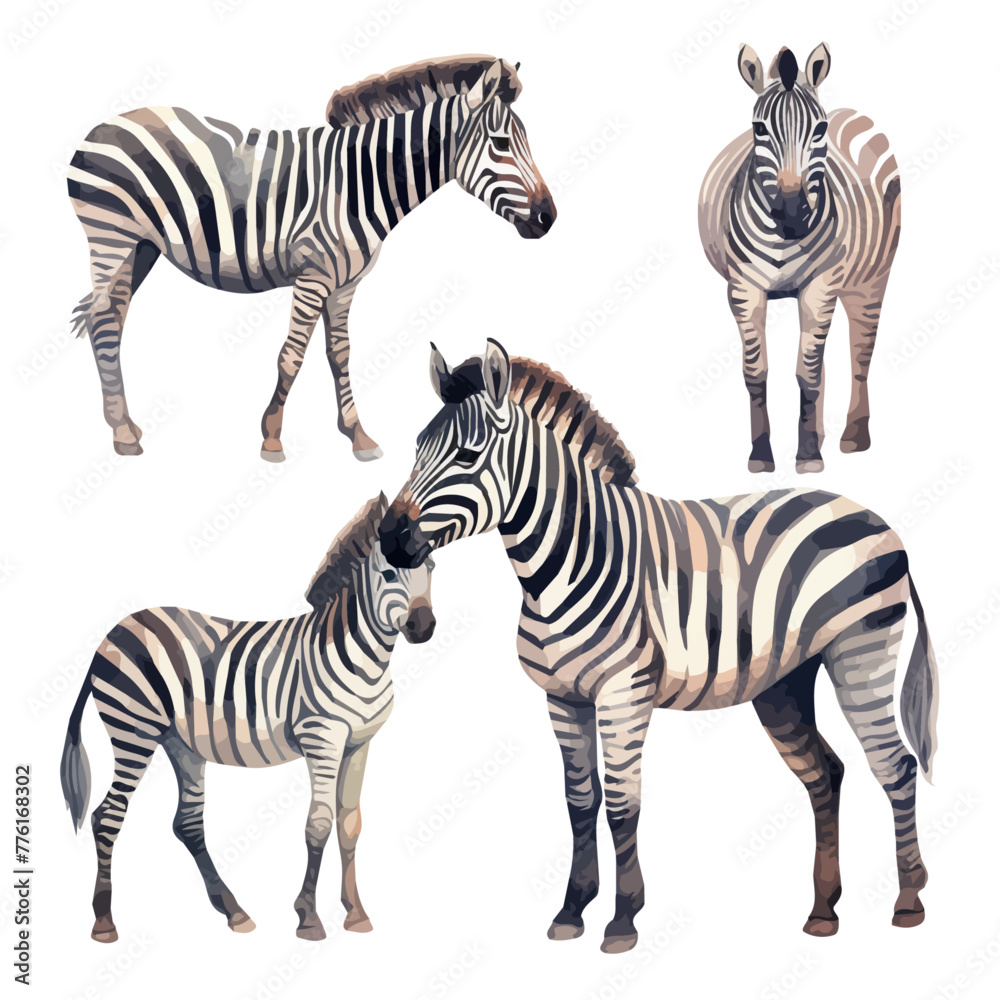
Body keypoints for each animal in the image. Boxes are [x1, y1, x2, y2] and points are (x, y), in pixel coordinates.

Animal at [60, 493, 436, 942]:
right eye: (388, 573)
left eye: (431, 568)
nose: (424, 627)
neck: (361, 657)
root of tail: (111, 633)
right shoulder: (322, 737)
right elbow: (319, 824)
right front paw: (308, 917)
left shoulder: (358, 744)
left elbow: (349, 824)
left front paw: (357, 913)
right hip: (134, 729)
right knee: (108, 815)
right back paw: (104, 921)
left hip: (179, 742)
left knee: (187, 822)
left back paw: (234, 911)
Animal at [67, 55, 556, 461]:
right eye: (500, 143)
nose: (548, 217)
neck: (361, 183)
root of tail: (98, 128)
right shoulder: (313, 275)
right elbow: (291, 356)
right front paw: (272, 438)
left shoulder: (345, 283)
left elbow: (340, 353)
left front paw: (358, 436)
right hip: (111, 236)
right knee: (106, 320)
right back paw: (123, 436)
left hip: (141, 247)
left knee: (110, 317)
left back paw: (125, 424)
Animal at [378, 339, 938, 954]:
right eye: (417, 447)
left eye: (467, 454)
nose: (387, 536)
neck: (562, 562)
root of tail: (877, 519)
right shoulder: (562, 698)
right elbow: (580, 803)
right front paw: (571, 910)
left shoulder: (624, 694)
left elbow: (624, 804)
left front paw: (623, 918)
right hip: (784, 682)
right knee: (825, 774)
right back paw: (822, 911)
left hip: (862, 654)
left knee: (896, 767)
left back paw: (909, 901)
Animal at [698, 43, 901, 473]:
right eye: (759, 129)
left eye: (819, 130)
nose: (792, 215)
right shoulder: (743, 288)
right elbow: (757, 371)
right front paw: (762, 455)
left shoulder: (819, 285)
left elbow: (807, 372)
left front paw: (808, 458)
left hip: (870, 278)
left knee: (861, 350)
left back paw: (853, 437)